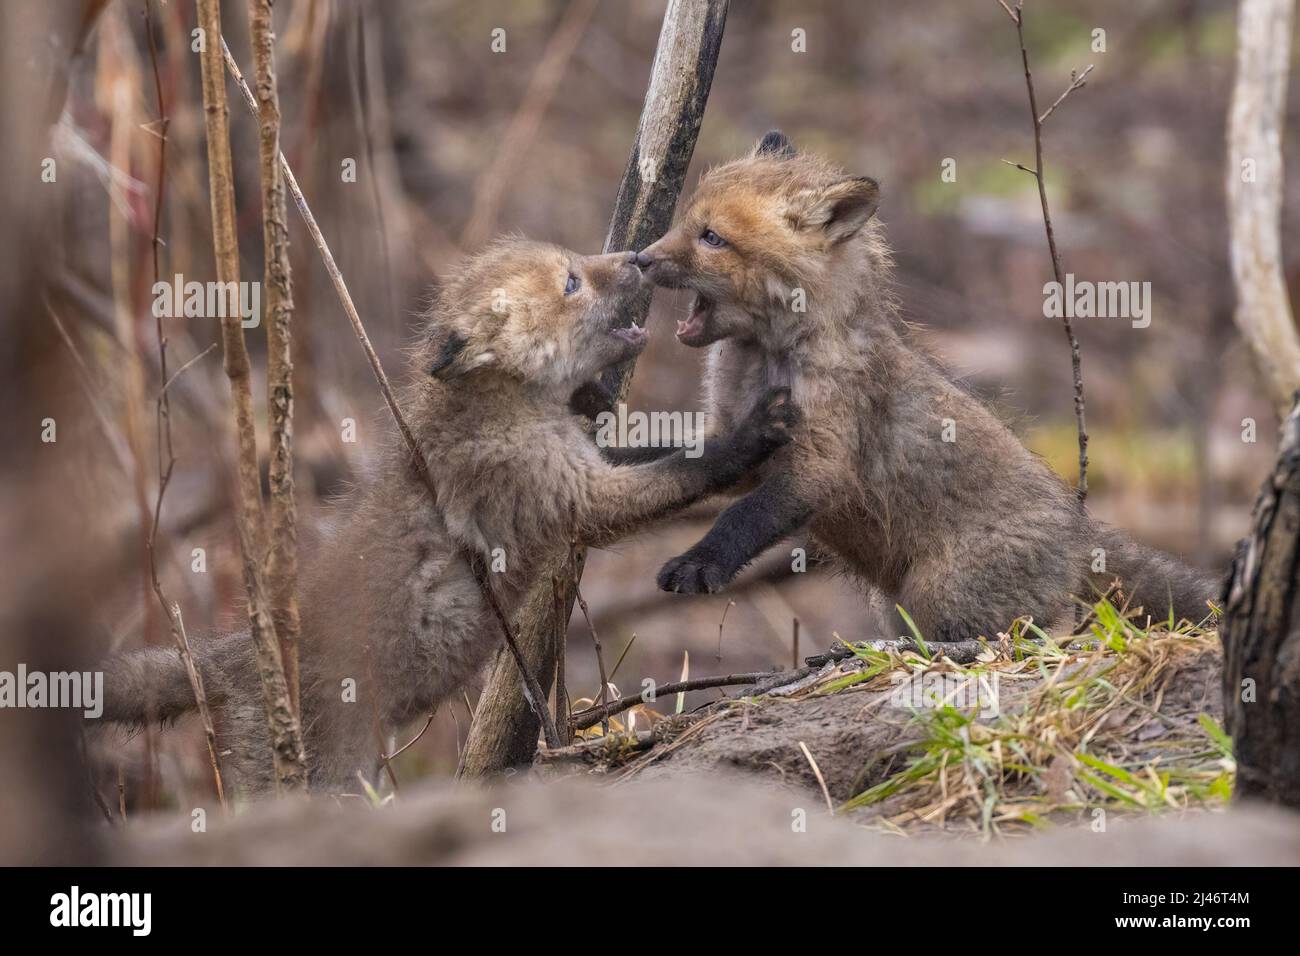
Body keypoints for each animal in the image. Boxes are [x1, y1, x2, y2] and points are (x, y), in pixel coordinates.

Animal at [97, 237, 796, 795]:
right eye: (571, 281)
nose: (636, 258)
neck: (503, 404)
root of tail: (231, 660)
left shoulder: (580, 457)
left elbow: (668, 450)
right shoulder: (567, 495)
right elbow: (681, 473)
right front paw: (752, 435)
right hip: (316, 771)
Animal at [633, 131, 1217, 642]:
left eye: (711, 238)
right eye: (683, 222)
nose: (640, 259)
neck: (762, 357)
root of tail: (1081, 532)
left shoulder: (820, 464)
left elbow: (743, 516)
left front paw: (698, 564)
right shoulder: (736, 437)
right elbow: (678, 457)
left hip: (942, 598)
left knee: (1033, 634)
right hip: (898, 606)